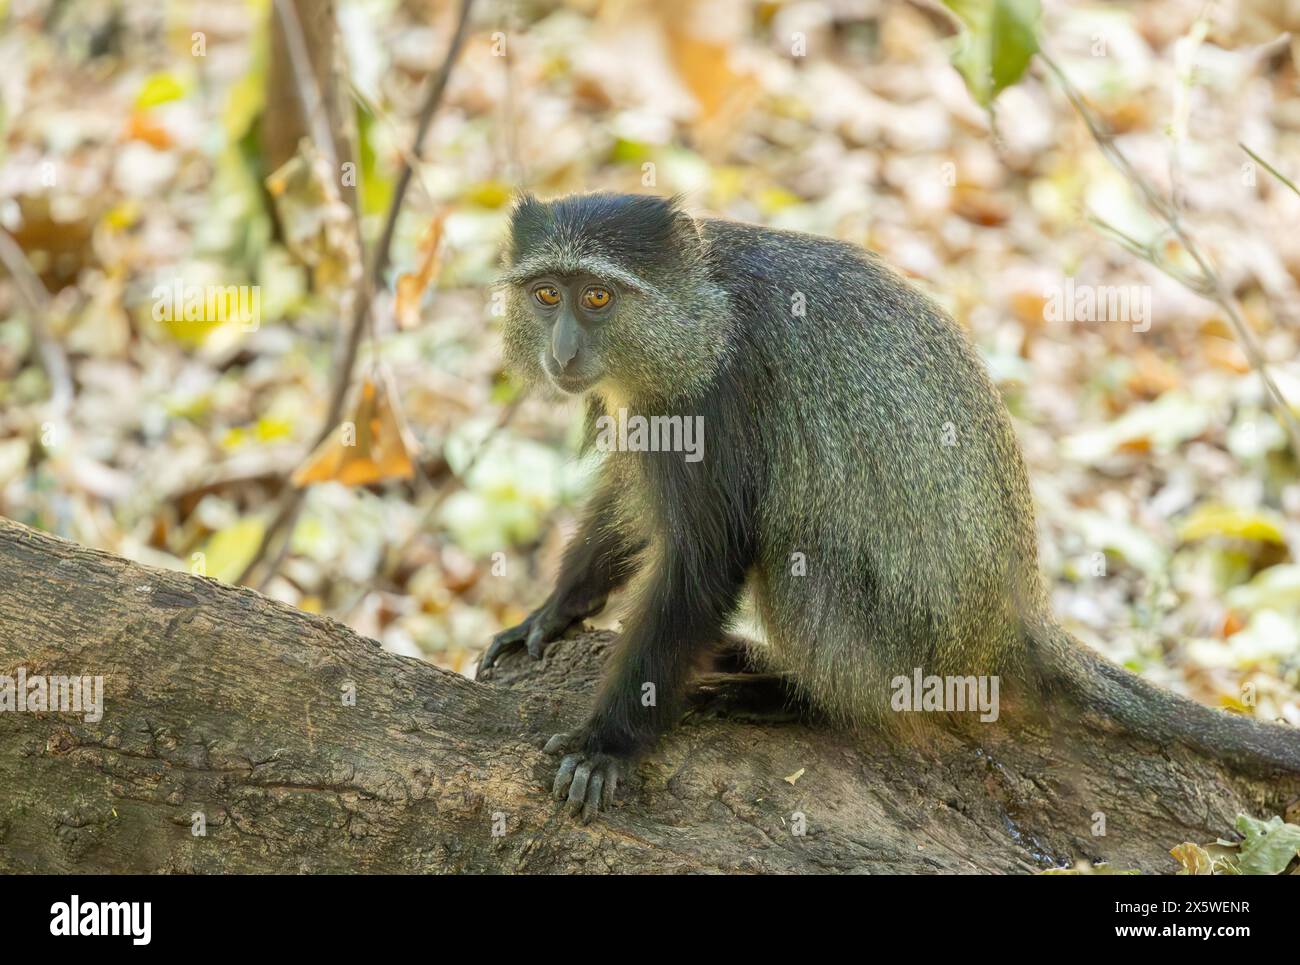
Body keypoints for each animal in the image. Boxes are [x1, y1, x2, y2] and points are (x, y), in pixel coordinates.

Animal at [477, 191, 1300, 822]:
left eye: (598, 296)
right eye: (547, 293)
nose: (563, 350)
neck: (699, 307)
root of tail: (1011, 630)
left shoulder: (716, 398)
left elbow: (703, 560)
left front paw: (606, 745)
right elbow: (626, 505)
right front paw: (550, 613)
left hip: (901, 649)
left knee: (799, 565)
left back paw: (793, 698)